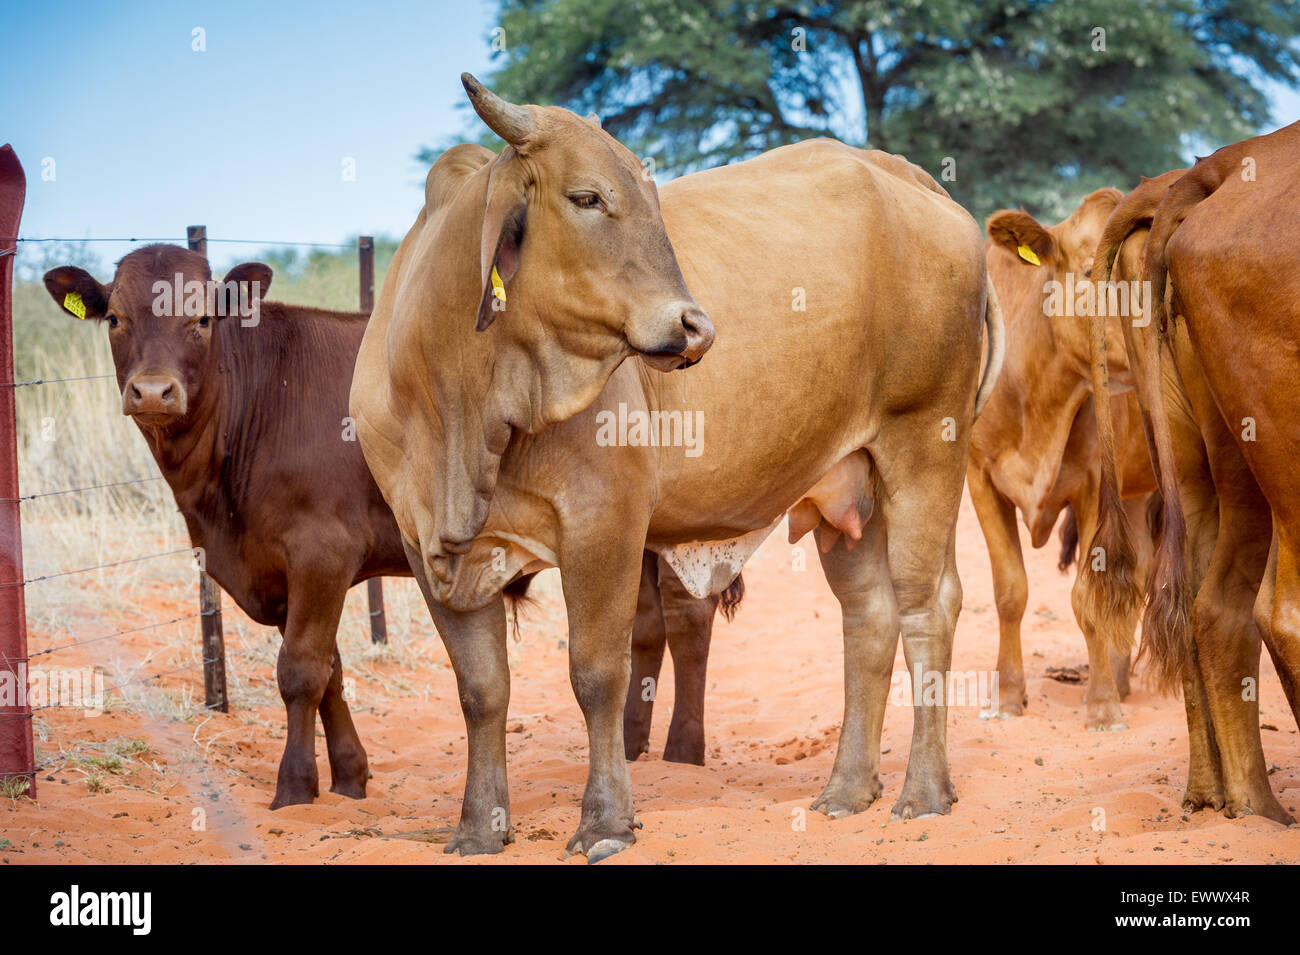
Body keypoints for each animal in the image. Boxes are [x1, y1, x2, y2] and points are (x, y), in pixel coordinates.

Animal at [41, 245, 723, 810]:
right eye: (114, 319)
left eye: (202, 320)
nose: (154, 392)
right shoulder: (289, 572)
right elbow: (332, 671)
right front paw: (348, 776)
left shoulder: (321, 551)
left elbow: (301, 670)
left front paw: (295, 789)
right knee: (649, 627)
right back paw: (635, 746)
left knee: (689, 620)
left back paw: (683, 752)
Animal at [350, 76, 1003, 860]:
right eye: (588, 197)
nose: (696, 326)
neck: (461, 403)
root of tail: (912, 181)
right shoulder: (429, 548)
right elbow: (481, 690)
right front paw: (479, 827)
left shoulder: (603, 525)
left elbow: (597, 673)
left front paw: (605, 821)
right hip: (852, 489)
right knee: (868, 616)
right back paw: (849, 788)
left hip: (925, 449)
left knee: (926, 606)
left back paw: (924, 792)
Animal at [971, 189, 1156, 729]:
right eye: (1093, 269)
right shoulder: (979, 478)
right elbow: (1010, 590)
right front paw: (1008, 696)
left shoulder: (1093, 487)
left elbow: (1086, 597)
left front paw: (1102, 705)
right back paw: (1119, 673)